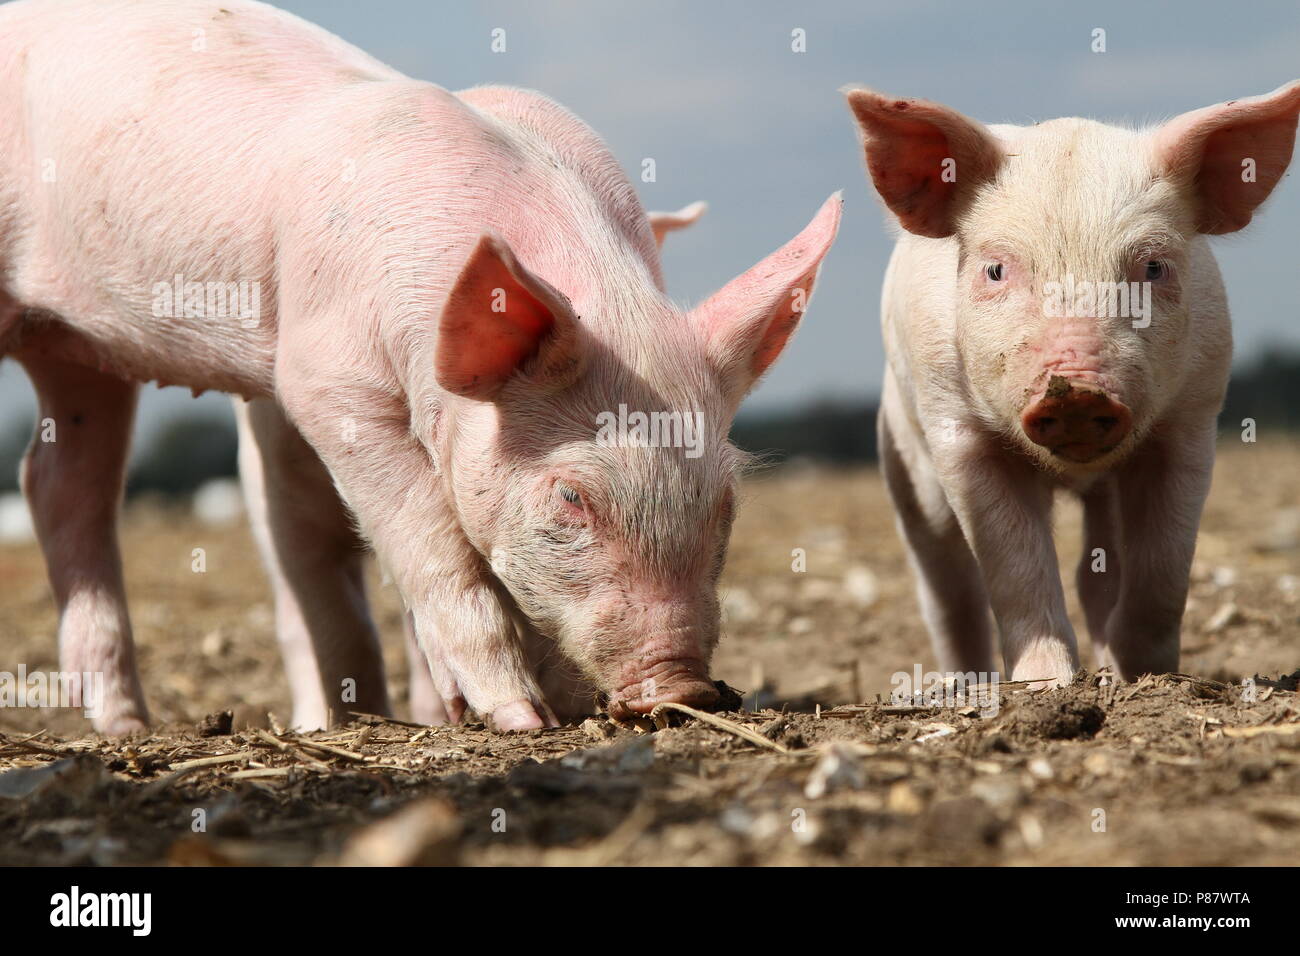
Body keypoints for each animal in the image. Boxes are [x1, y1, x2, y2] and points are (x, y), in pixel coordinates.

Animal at [0, 0, 841, 734]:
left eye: (726, 500)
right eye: (572, 496)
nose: (682, 688)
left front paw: (528, 710)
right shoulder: (324, 376)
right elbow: (431, 548)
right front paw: (516, 718)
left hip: (77, 352)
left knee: (60, 483)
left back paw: (124, 727)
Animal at [845, 81, 1300, 686]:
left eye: (1154, 267)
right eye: (995, 269)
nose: (1078, 389)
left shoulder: (1193, 418)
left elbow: (1165, 569)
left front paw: (1142, 676)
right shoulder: (958, 431)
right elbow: (1015, 569)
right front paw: (1049, 685)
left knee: (1094, 573)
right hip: (902, 457)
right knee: (946, 588)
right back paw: (963, 684)